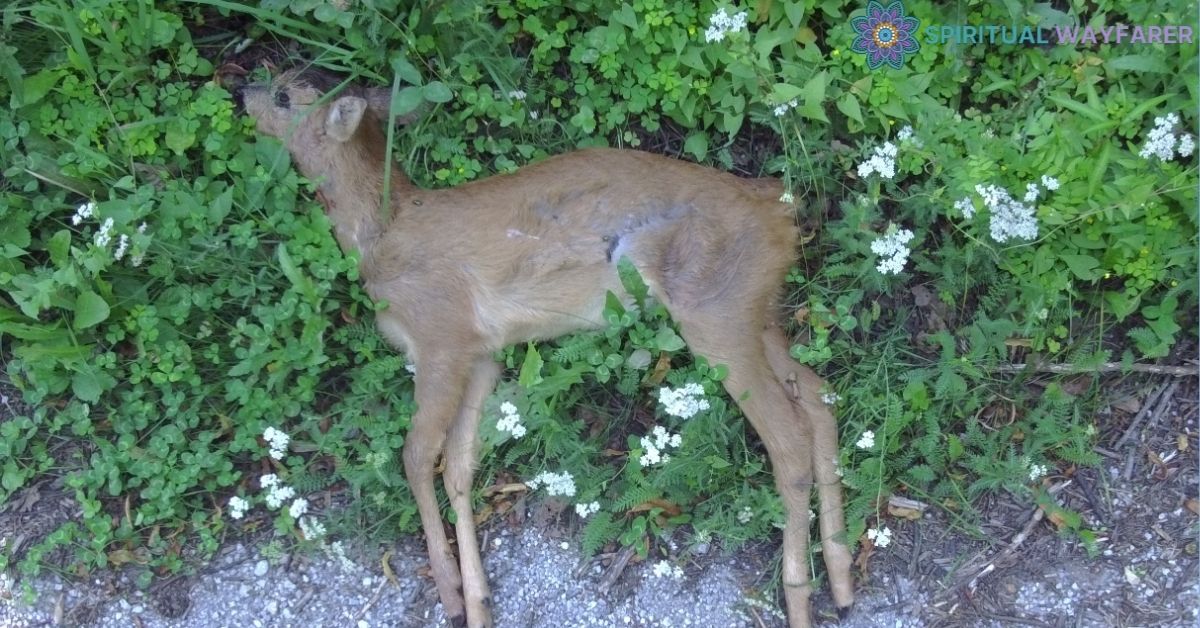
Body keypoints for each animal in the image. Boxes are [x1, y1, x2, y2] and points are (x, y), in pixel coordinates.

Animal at [233, 67, 855, 628]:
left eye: (284, 94)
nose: (242, 89)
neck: (379, 234)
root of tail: (779, 207)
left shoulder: (440, 333)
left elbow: (416, 456)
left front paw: (450, 591)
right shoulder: (481, 356)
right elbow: (459, 467)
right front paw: (480, 602)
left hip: (713, 309)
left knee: (788, 438)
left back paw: (800, 598)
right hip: (755, 309)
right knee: (817, 396)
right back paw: (843, 578)